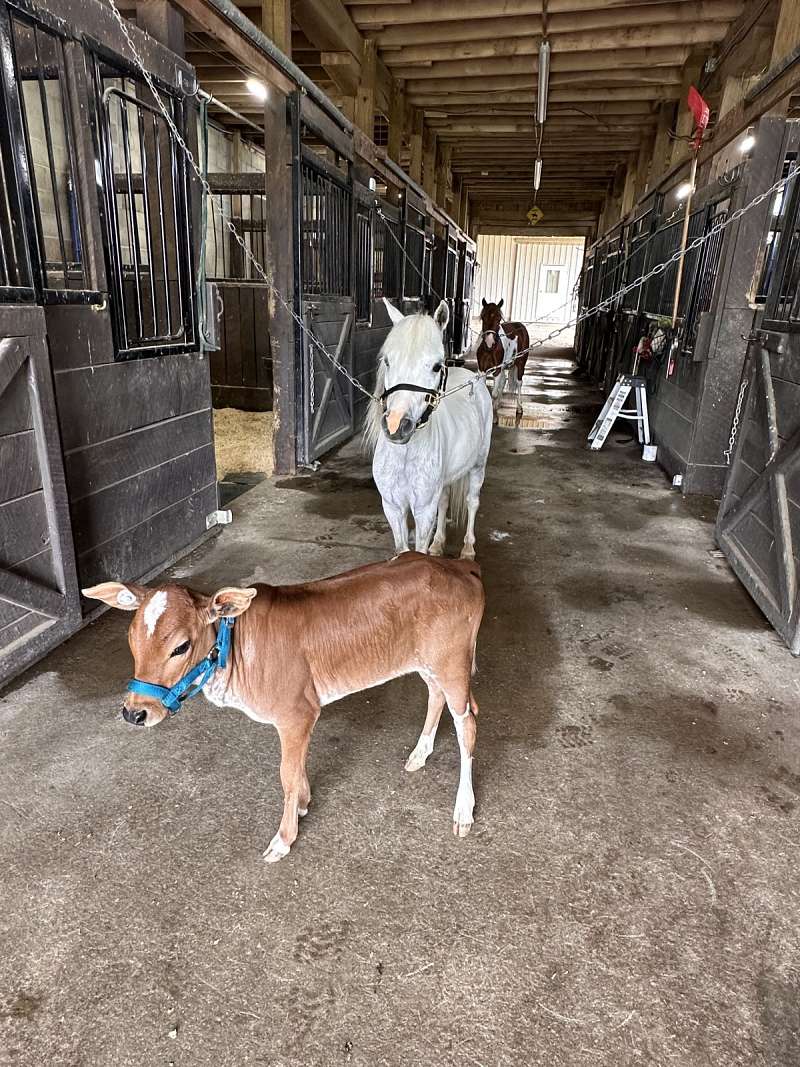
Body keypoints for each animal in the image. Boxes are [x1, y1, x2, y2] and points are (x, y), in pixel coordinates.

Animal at [365, 298, 493, 561]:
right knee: (444, 502)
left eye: (436, 366)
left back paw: (468, 550)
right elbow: (403, 549)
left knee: (472, 502)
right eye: (387, 361)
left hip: (478, 466)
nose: (396, 426)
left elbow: (418, 550)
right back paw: (438, 545)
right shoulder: (393, 507)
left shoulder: (423, 510)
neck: (404, 455)